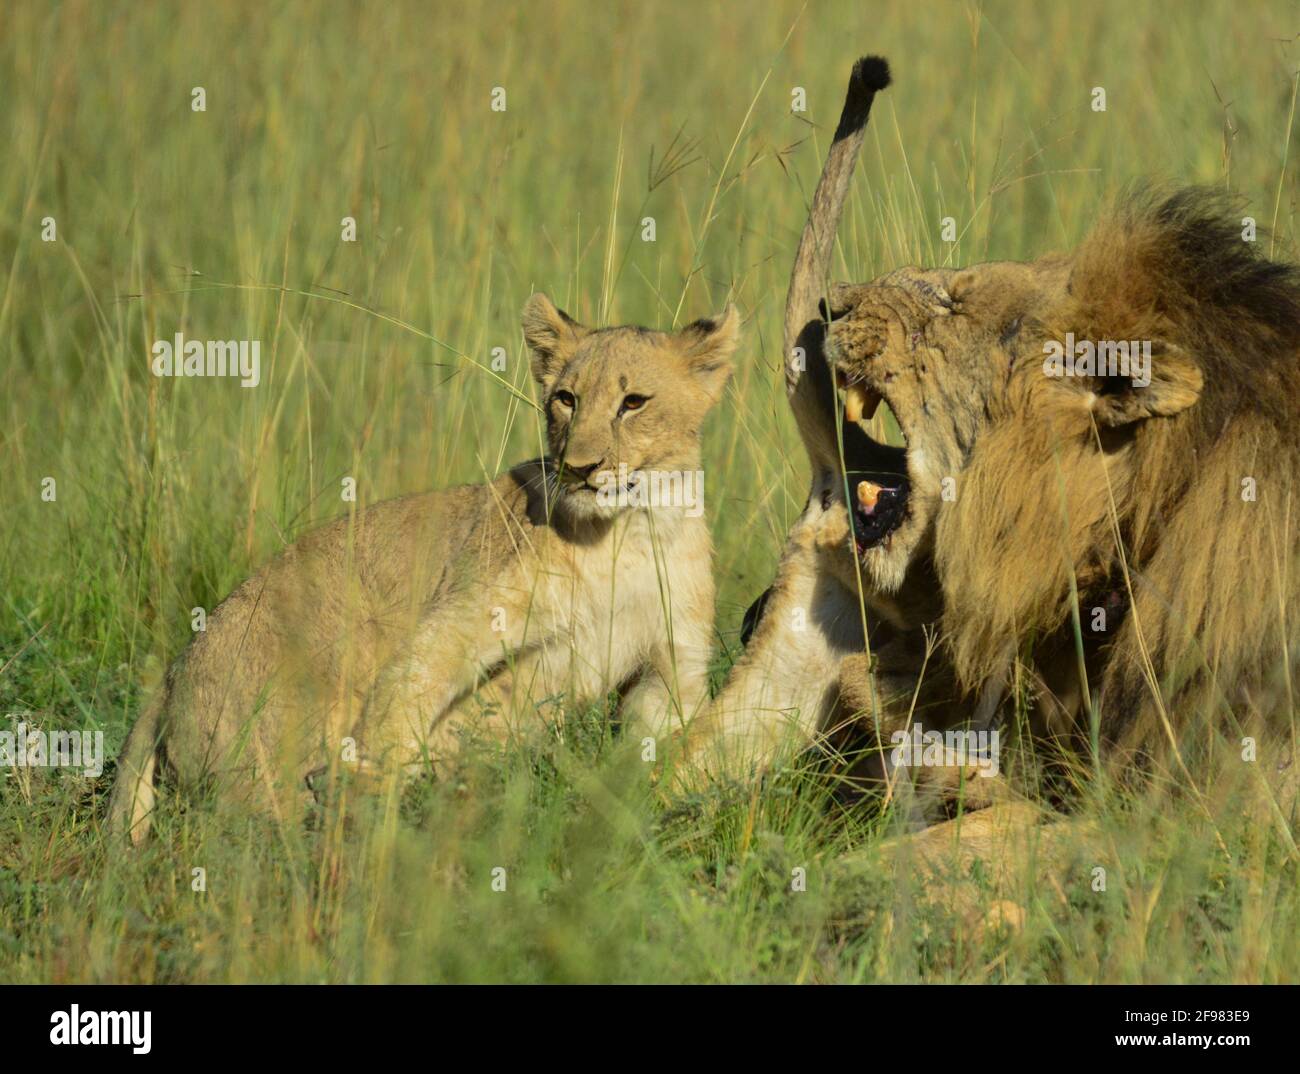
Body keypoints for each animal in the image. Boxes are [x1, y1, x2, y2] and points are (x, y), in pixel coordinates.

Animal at [107, 296, 739, 843]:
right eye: (566, 398)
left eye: (633, 403)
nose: (580, 468)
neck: (631, 533)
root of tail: (172, 675)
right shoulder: (462, 613)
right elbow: (411, 687)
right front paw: (379, 783)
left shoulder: (672, 665)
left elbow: (654, 745)